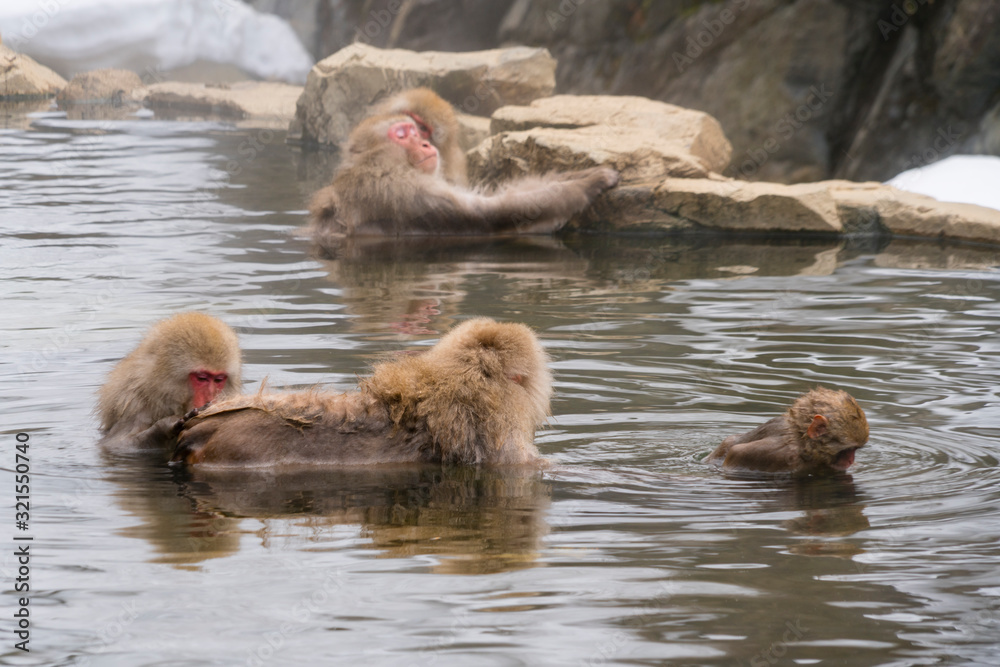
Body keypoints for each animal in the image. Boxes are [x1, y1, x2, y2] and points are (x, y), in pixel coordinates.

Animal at [97, 312, 242, 453]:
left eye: (218, 379)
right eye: (201, 378)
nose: (211, 397)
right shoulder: (135, 406)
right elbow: (116, 444)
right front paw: (167, 424)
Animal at [308, 113, 619, 240]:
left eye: (416, 131)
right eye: (402, 134)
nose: (425, 144)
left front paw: (583, 172)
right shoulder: (403, 190)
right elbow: (491, 214)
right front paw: (590, 184)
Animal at [706, 387, 869, 475]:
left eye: (855, 450)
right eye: (848, 449)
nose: (850, 460)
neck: (803, 444)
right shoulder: (780, 455)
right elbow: (737, 452)